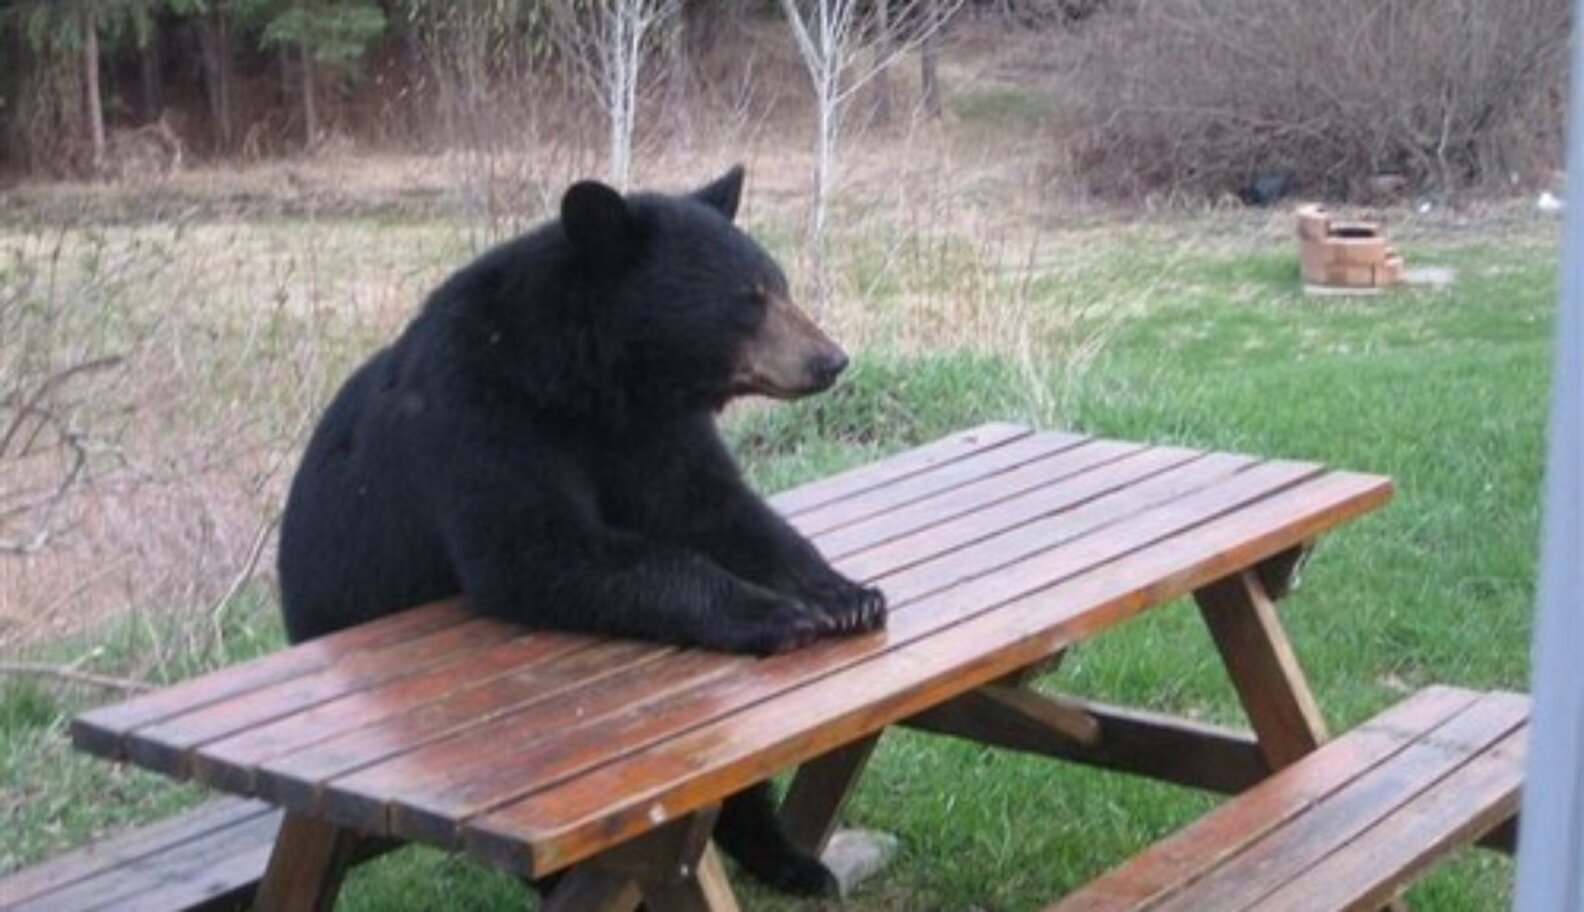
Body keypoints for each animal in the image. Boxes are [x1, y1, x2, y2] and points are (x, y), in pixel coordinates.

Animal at [275, 166, 886, 896]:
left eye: (779, 284)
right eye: (749, 300)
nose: (832, 359)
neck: (594, 382)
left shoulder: (654, 431)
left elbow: (719, 510)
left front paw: (845, 594)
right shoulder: (478, 413)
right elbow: (538, 549)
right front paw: (777, 613)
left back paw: (791, 860)